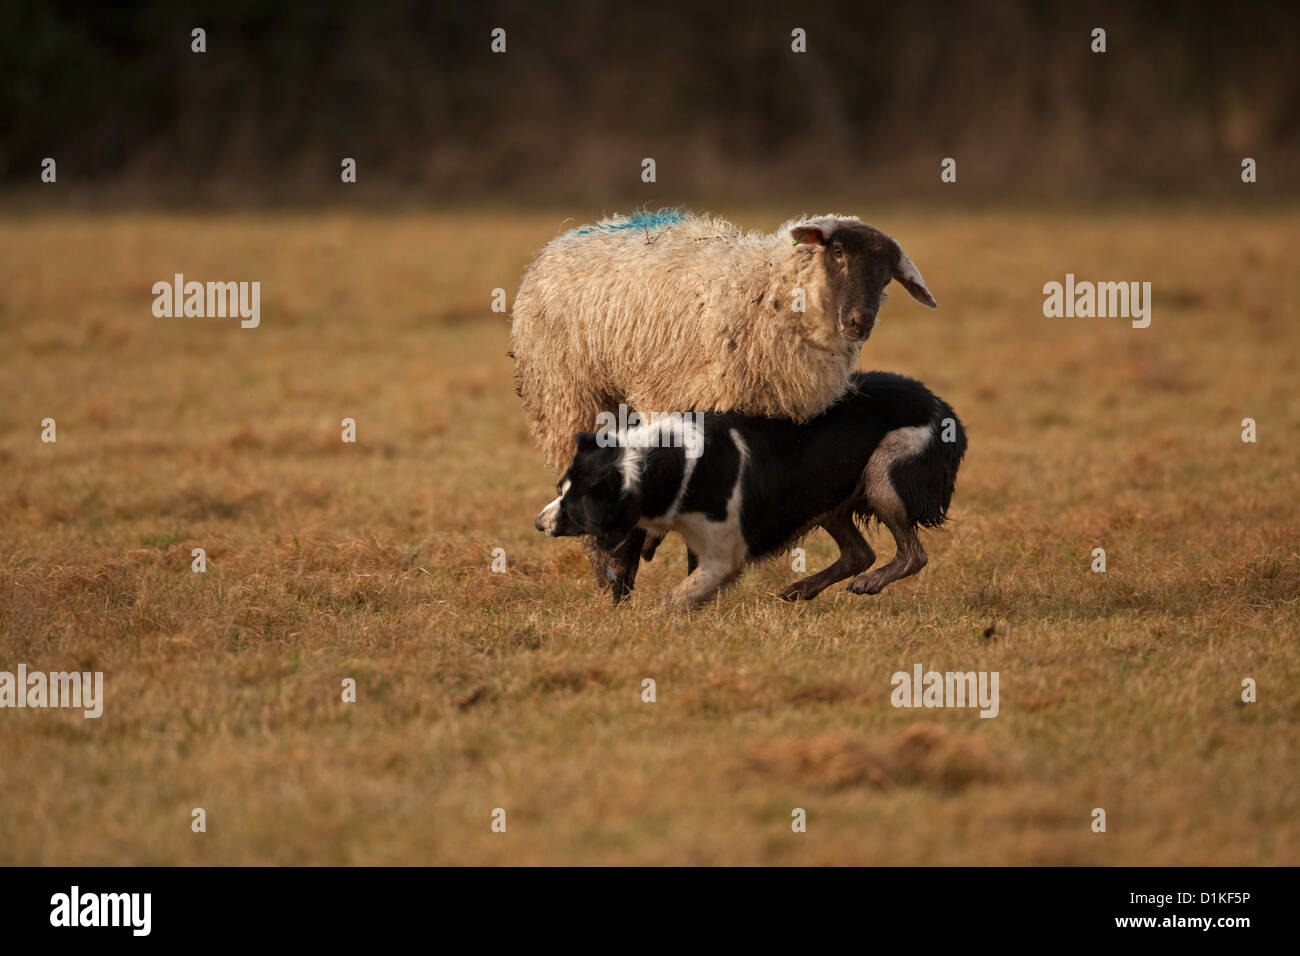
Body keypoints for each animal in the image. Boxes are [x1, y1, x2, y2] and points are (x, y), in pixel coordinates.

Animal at [510, 208, 937, 599]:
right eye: (837, 251)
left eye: (887, 275)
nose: (860, 322)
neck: (771, 290)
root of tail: (583, 230)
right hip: (571, 399)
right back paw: (611, 582)